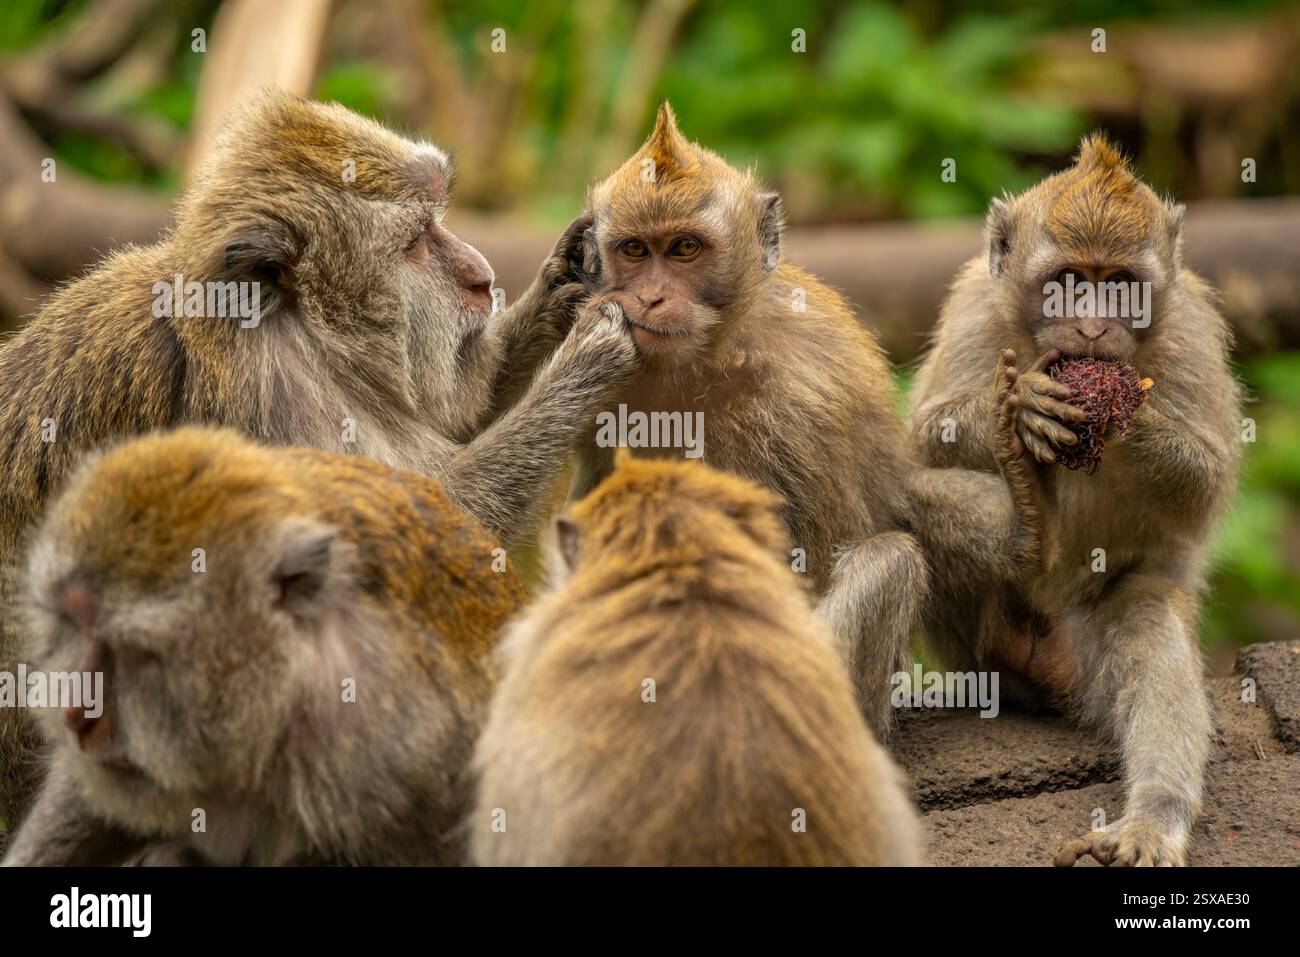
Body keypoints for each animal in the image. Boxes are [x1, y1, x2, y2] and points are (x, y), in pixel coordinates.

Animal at [909, 134, 1242, 866]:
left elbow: (1207, 484)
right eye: (1067, 283)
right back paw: (1029, 529)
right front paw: (1023, 405)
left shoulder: (1193, 329)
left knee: (1148, 616)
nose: (1091, 332)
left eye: (1117, 285)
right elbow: (921, 434)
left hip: (1085, 648)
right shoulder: (973, 304)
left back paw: (1153, 817)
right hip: (975, 643)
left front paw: (1123, 412)